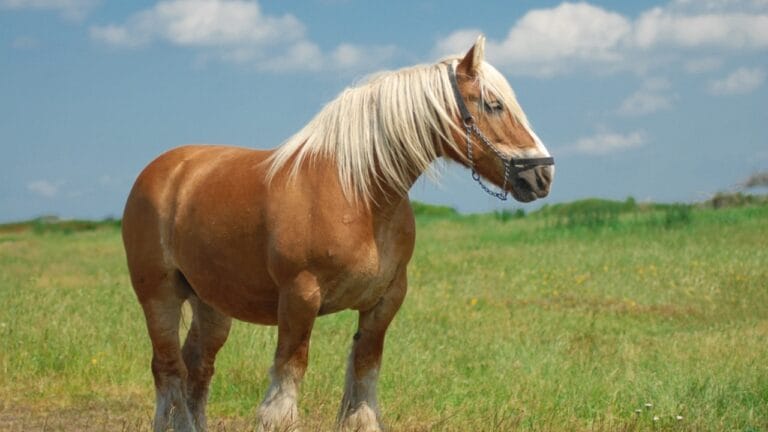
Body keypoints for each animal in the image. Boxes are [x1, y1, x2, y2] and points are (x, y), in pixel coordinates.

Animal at [122, 35, 554, 432]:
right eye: (493, 104)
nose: (543, 175)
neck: (357, 194)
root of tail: (163, 169)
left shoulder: (386, 299)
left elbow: (365, 370)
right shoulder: (299, 297)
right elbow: (289, 373)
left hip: (210, 304)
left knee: (197, 366)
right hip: (159, 295)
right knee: (168, 369)